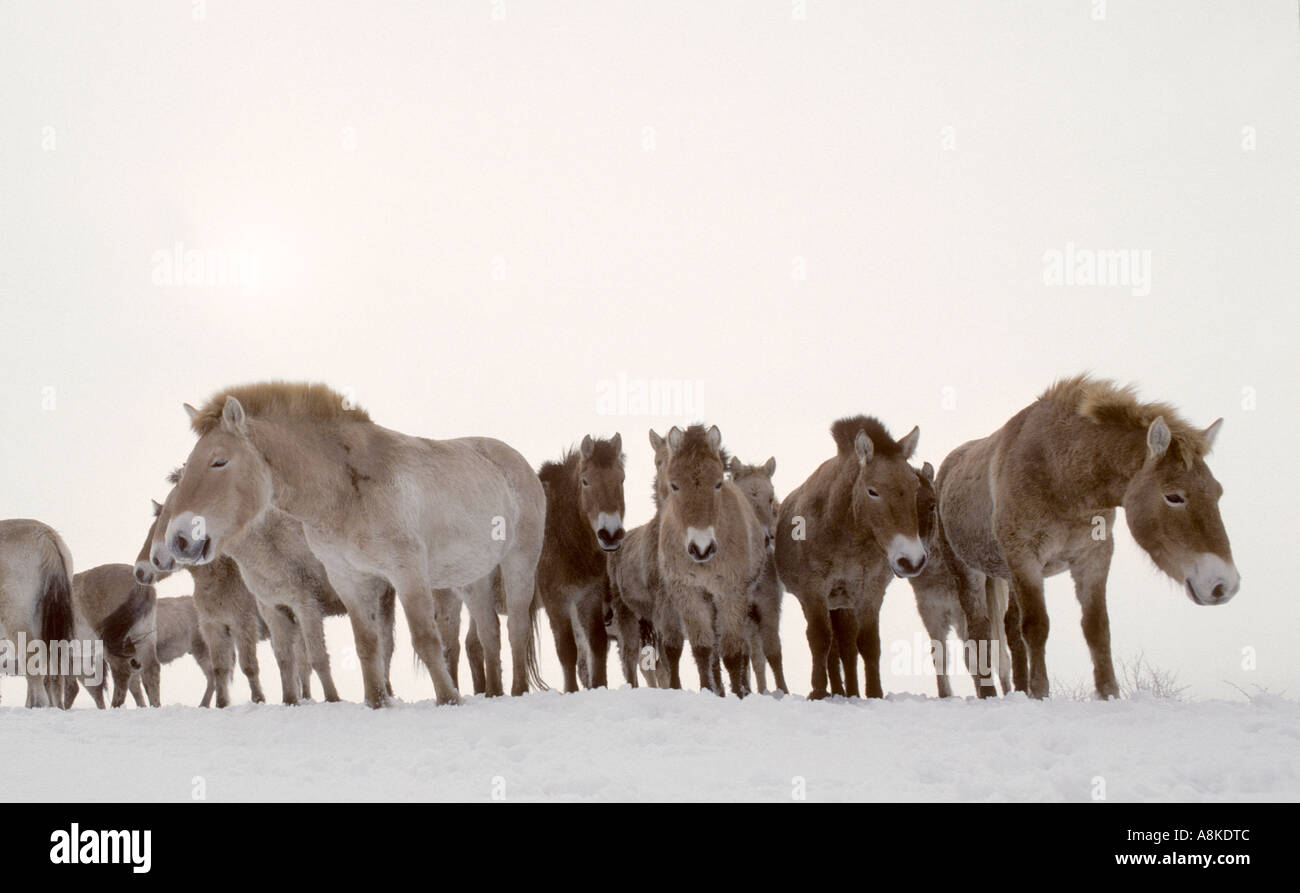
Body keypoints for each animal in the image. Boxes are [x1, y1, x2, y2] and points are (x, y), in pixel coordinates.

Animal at [161, 382, 546, 707]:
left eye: (219, 461)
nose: (178, 540)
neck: (347, 491)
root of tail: (517, 461)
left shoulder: (407, 574)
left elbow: (425, 638)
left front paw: (449, 699)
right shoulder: (349, 579)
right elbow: (367, 644)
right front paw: (377, 702)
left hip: (519, 563)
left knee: (516, 629)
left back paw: (517, 692)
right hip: (471, 578)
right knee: (490, 633)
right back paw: (494, 694)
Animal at [657, 425, 767, 696]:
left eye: (717, 484)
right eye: (674, 485)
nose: (701, 549)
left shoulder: (731, 592)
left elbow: (733, 652)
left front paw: (739, 694)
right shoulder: (689, 592)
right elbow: (702, 649)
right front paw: (708, 691)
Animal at [773, 416, 928, 699]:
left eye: (914, 488)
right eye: (872, 491)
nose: (911, 560)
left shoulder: (871, 590)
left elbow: (868, 642)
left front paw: (874, 692)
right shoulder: (813, 592)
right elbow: (820, 639)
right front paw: (818, 691)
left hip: (843, 603)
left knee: (846, 646)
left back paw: (851, 691)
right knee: (833, 646)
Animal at [938, 374, 1240, 699]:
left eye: (1218, 492)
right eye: (1173, 496)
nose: (1224, 584)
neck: (1057, 470)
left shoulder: (1092, 557)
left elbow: (1096, 627)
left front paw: (1108, 693)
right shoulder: (1026, 557)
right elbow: (1037, 626)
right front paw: (1041, 693)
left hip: (1008, 574)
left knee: (1010, 629)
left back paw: (1019, 690)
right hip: (968, 572)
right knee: (979, 631)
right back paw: (989, 695)